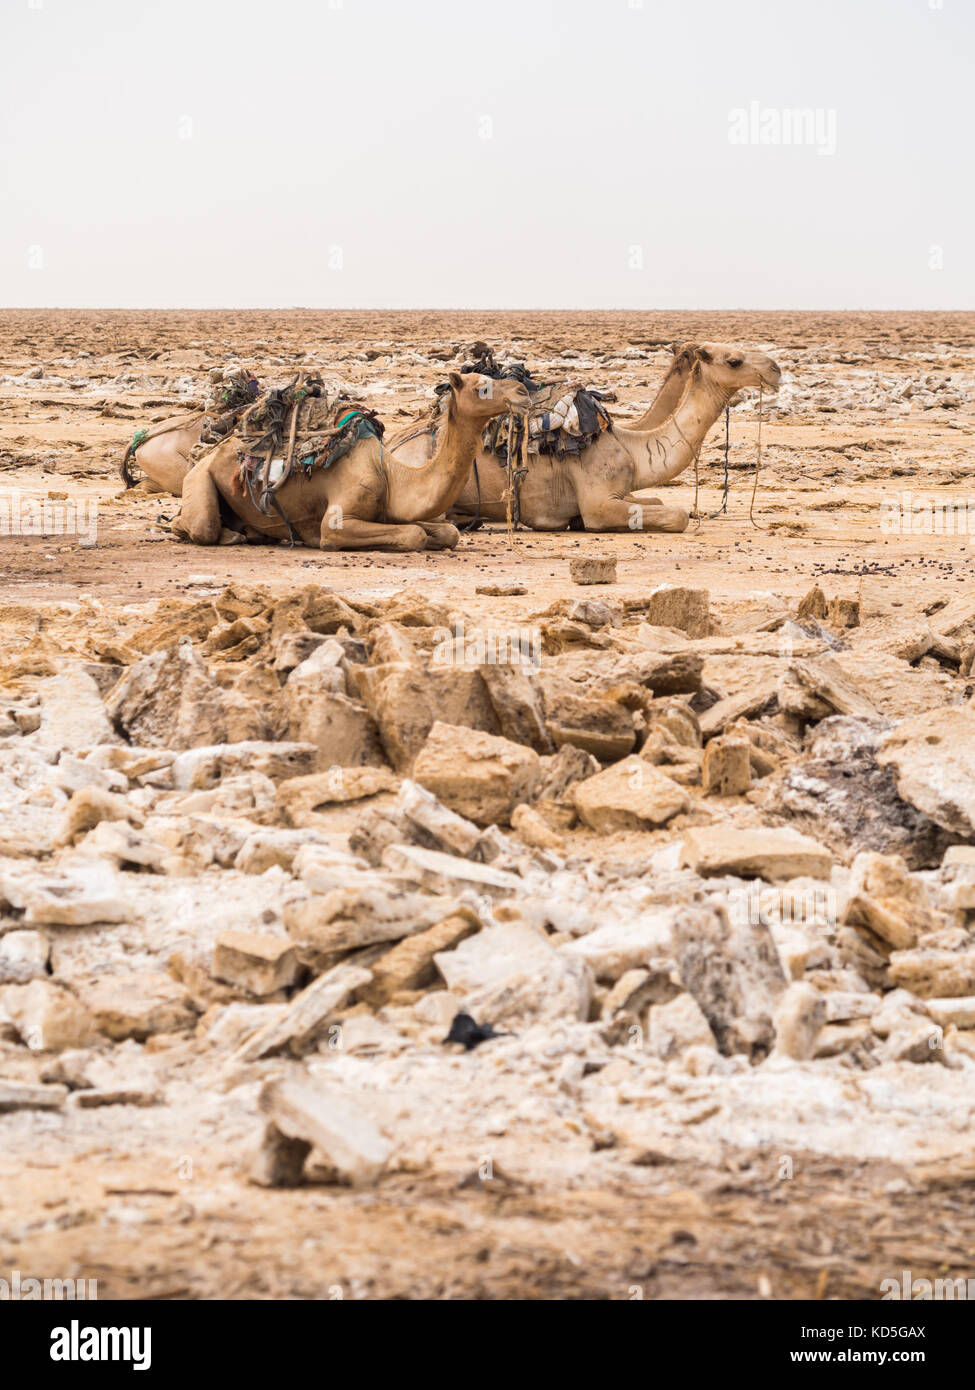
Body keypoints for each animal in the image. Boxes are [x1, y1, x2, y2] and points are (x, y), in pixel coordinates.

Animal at [170, 371, 531, 552]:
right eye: (482, 387)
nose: (523, 392)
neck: (391, 475)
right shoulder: (337, 520)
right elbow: (412, 535)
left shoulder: (392, 511)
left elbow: (447, 532)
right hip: (198, 478)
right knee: (200, 526)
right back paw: (229, 535)